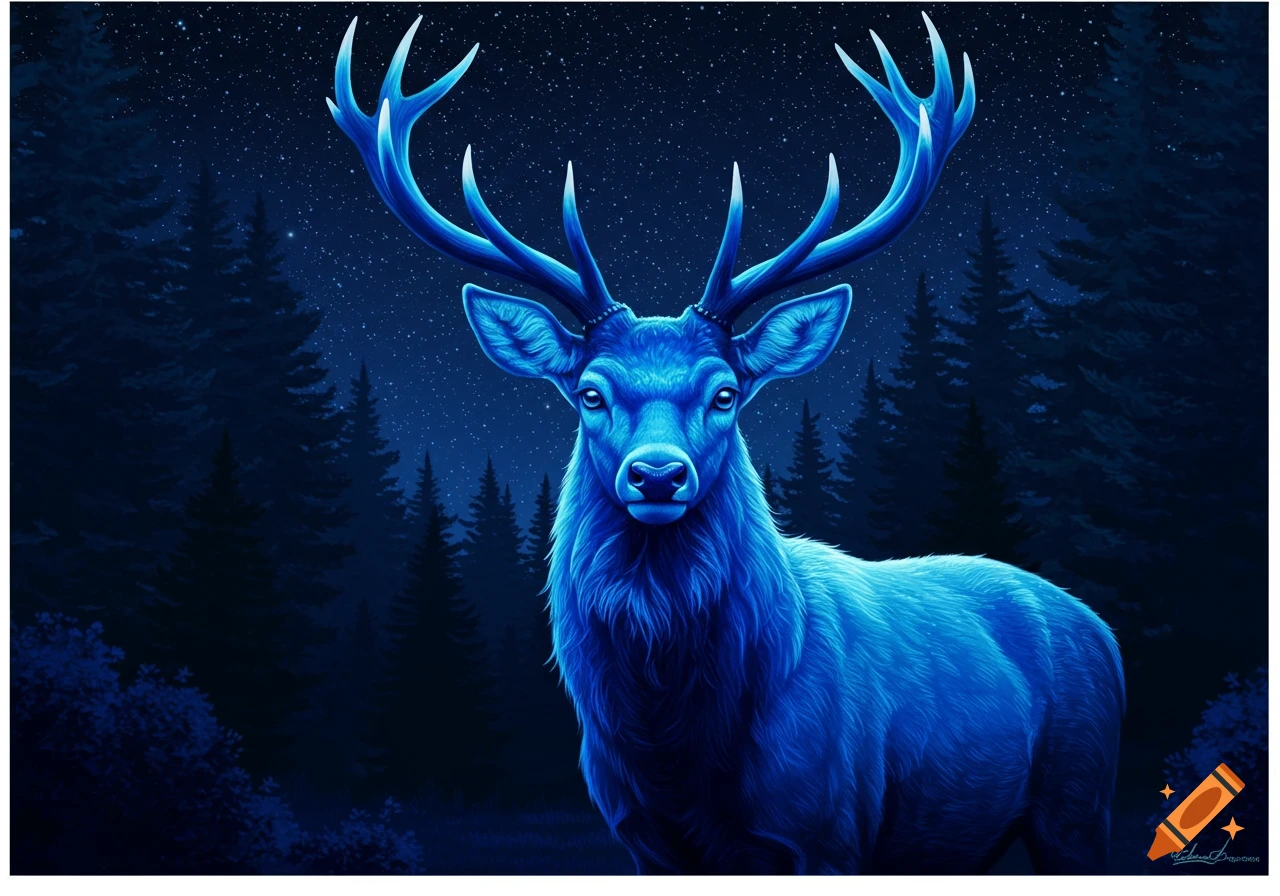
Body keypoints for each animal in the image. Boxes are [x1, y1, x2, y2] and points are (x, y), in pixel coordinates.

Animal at [328, 12, 1125, 874]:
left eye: (725, 393)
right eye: (590, 392)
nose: (656, 476)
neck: (680, 760)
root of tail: (1103, 631)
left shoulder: (828, 829)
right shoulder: (639, 840)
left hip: (1078, 801)